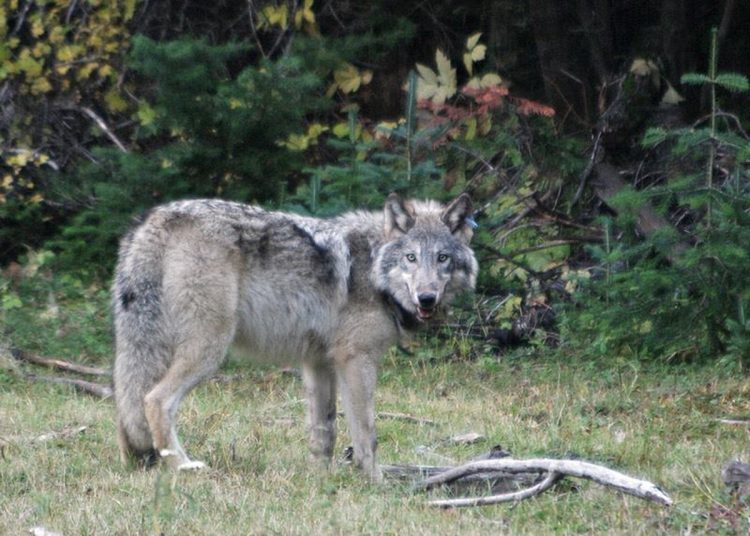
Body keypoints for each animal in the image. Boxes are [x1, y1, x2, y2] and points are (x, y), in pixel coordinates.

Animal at [112, 193, 478, 480]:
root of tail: (159, 216)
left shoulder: (318, 362)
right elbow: (366, 434)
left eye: (442, 258)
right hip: (210, 350)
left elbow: (324, 430)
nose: (426, 298)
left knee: (127, 402)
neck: (374, 270)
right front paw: (376, 484)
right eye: (411, 258)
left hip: (148, 348)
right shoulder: (355, 360)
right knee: (155, 400)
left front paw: (321, 479)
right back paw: (183, 467)